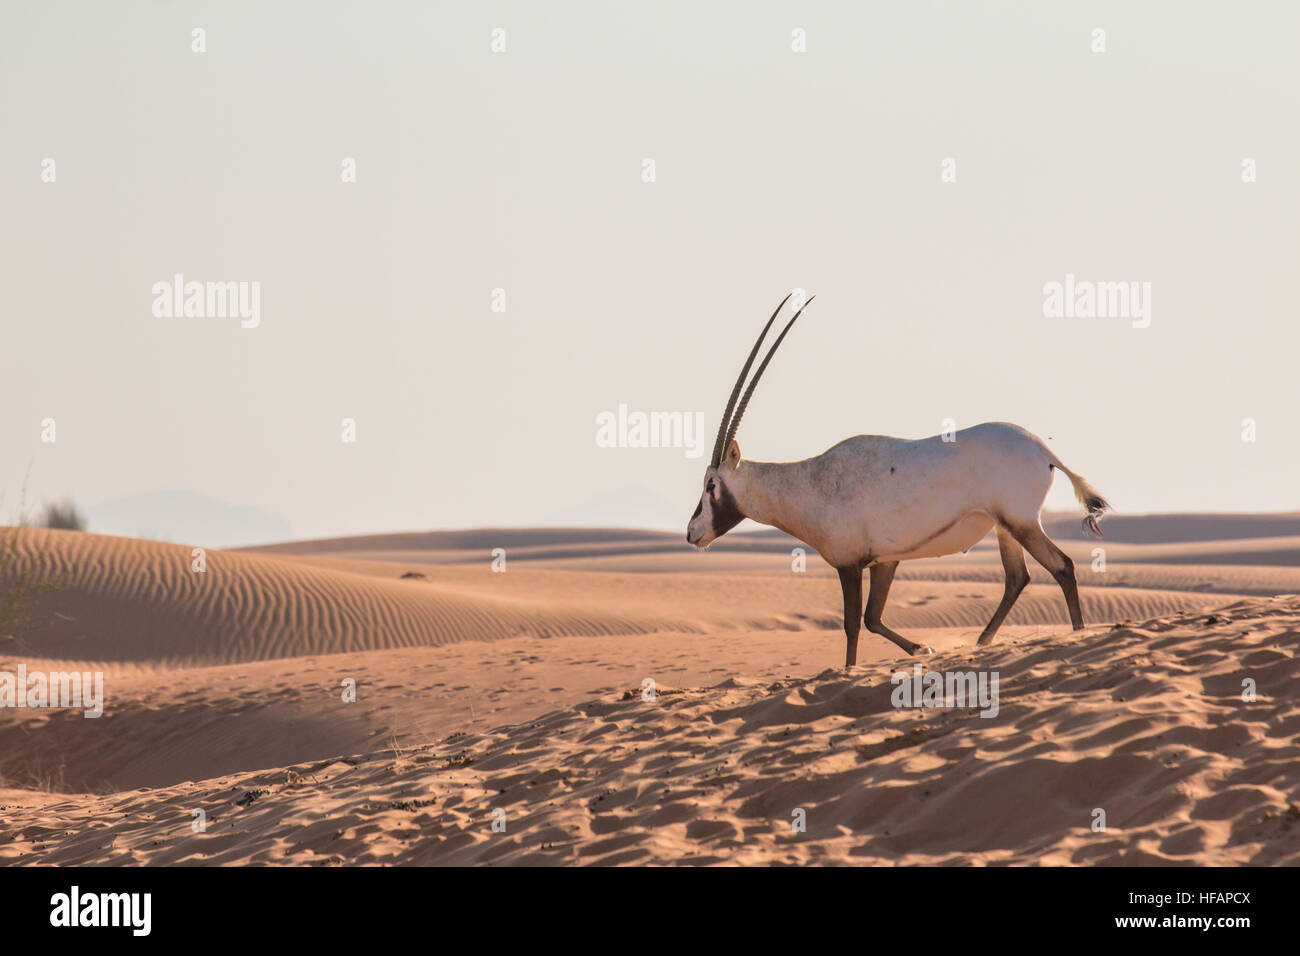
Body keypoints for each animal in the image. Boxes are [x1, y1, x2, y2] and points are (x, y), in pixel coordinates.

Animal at [686, 294, 1110, 666]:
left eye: (711, 486)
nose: (692, 532)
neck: (808, 481)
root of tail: (1045, 452)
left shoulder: (849, 564)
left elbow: (853, 625)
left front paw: (850, 670)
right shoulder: (884, 561)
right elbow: (873, 619)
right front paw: (924, 649)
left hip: (1021, 522)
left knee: (1062, 567)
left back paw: (1075, 634)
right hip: (1006, 527)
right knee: (1017, 578)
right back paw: (983, 642)